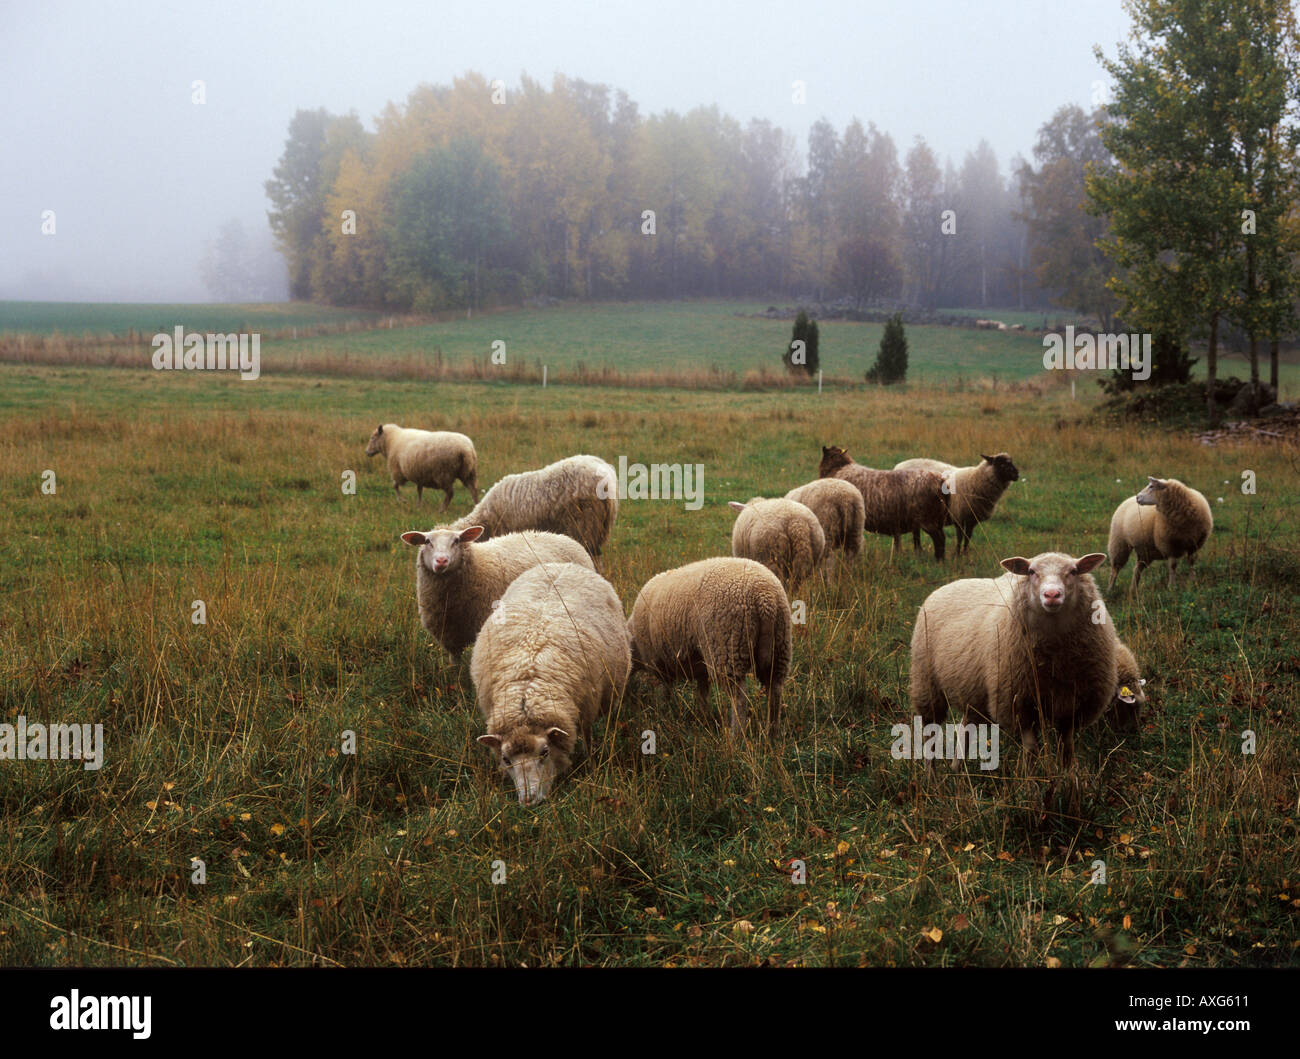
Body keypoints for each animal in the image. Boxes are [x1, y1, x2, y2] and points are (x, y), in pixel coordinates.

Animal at [472, 562, 631, 805]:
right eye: (506, 759)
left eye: (545, 752)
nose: (529, 801)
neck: (527, 687)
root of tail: (562, 564)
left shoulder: (587, 708)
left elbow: (588, 738)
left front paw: (592, 764)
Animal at [627, 557, 792, 737]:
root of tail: (765, 595)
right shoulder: (700, 669)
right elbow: (703, 693)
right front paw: (703, 717)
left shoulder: (658, 663)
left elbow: (664, 691)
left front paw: (662, 714)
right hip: (780, 647)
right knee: (775, 691)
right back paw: (772, 732)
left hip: (726, 648)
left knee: (739, 699)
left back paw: (736, 735)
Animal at [818, 445, 947, 561]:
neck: (839, 468)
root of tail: (940, 481)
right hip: (935, 519)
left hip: (928, 519)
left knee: (939, 539)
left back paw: (939, 560)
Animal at [908, 550, 1114, 808]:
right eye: (1032, 572)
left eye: (1074, 571)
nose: (1052, 595)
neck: (1055, 661)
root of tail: (949, 584)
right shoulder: (1019, 703)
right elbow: (1031, 750)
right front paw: (1032, 789)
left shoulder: (1072, 707)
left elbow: (1066, 749)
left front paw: (1070, 786)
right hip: (926, 683)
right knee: (930, 732)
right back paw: (931, 778)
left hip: (975, 694)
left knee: (965, 728)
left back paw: (957, 770)